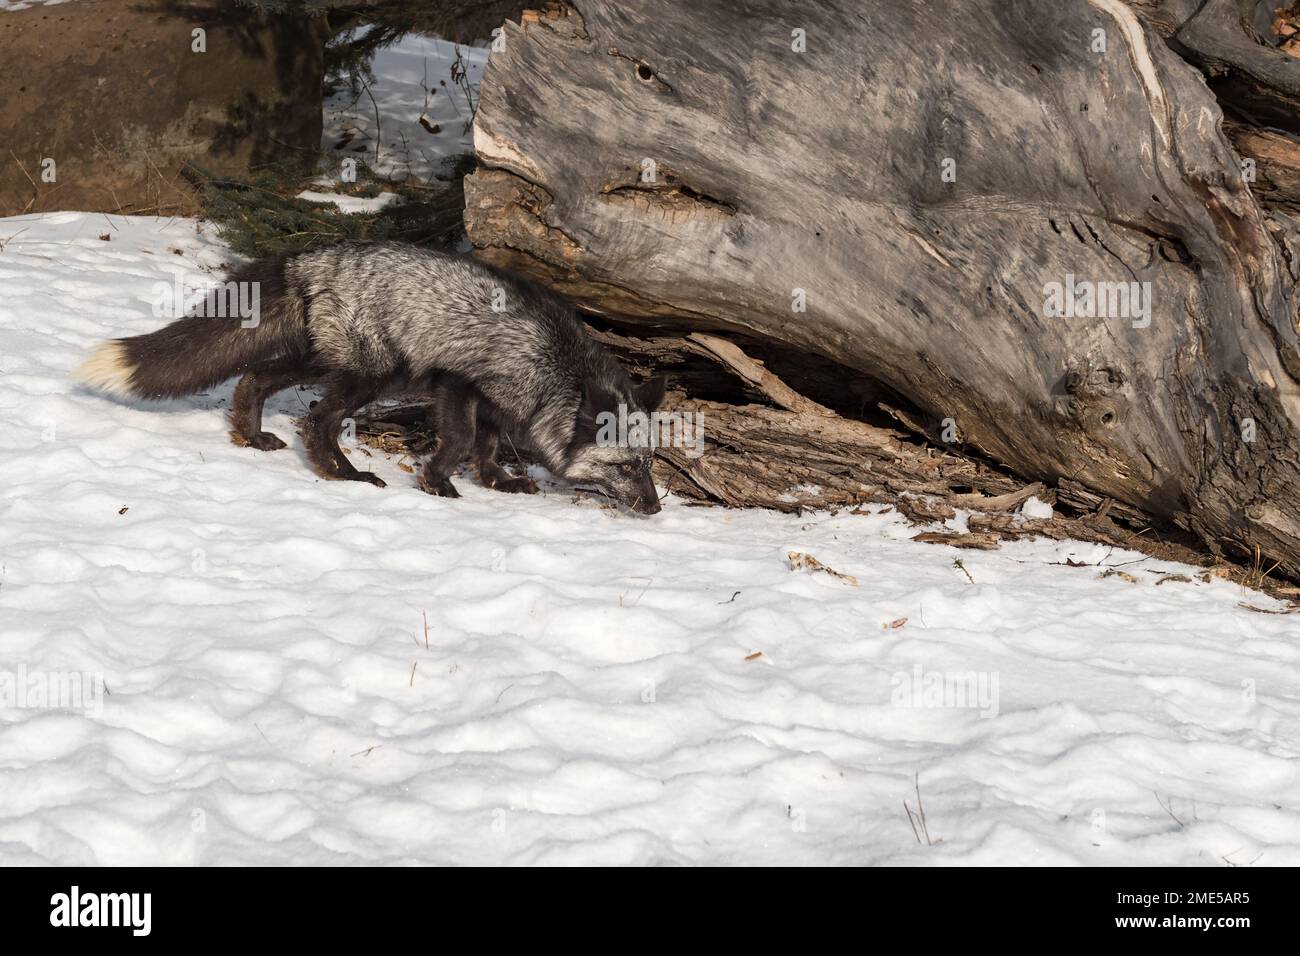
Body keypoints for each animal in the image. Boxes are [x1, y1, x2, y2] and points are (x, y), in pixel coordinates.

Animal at [75, 243, 667, 514]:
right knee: (317, 420)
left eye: (647, 463)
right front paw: (438, 484)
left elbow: (488, 448)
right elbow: (460, 441)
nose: (658, 507)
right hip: (373, 376)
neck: (552, 361)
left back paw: (253, 435)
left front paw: (496, 481)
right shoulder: (458, 384)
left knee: (254, 378)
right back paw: (345, 475)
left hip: (320, 361)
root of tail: (311, 256)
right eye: (625, 467)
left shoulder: (500, 402)